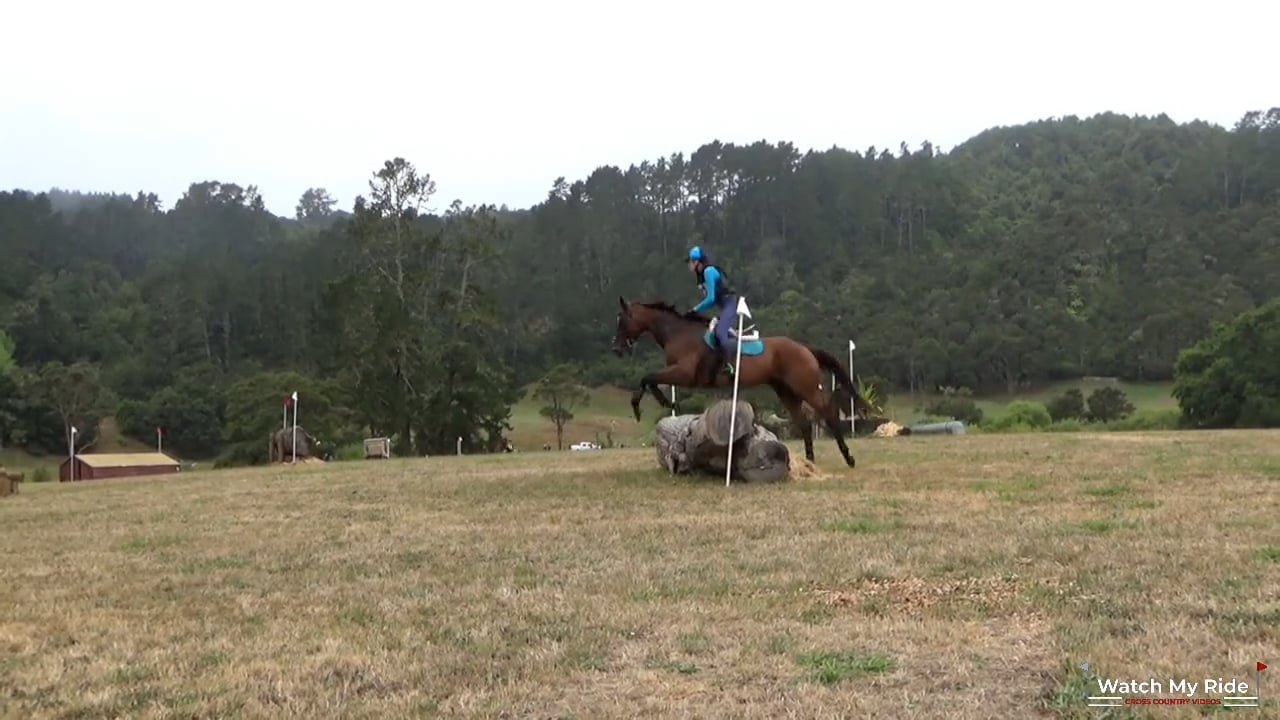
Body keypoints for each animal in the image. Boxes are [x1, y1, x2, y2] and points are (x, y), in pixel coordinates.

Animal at [612, 296, 877, 468]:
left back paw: (848, 458)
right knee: (803, 423)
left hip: (806, 387)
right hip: (785, 391)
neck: (678, 333)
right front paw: (661, 403)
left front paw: (650, 405)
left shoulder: (685, 373)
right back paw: (809, 462)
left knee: (828, 414)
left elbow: (648, 377)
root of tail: (804, 348)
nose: (616, 348)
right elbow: (649, 379)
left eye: (621, 320)